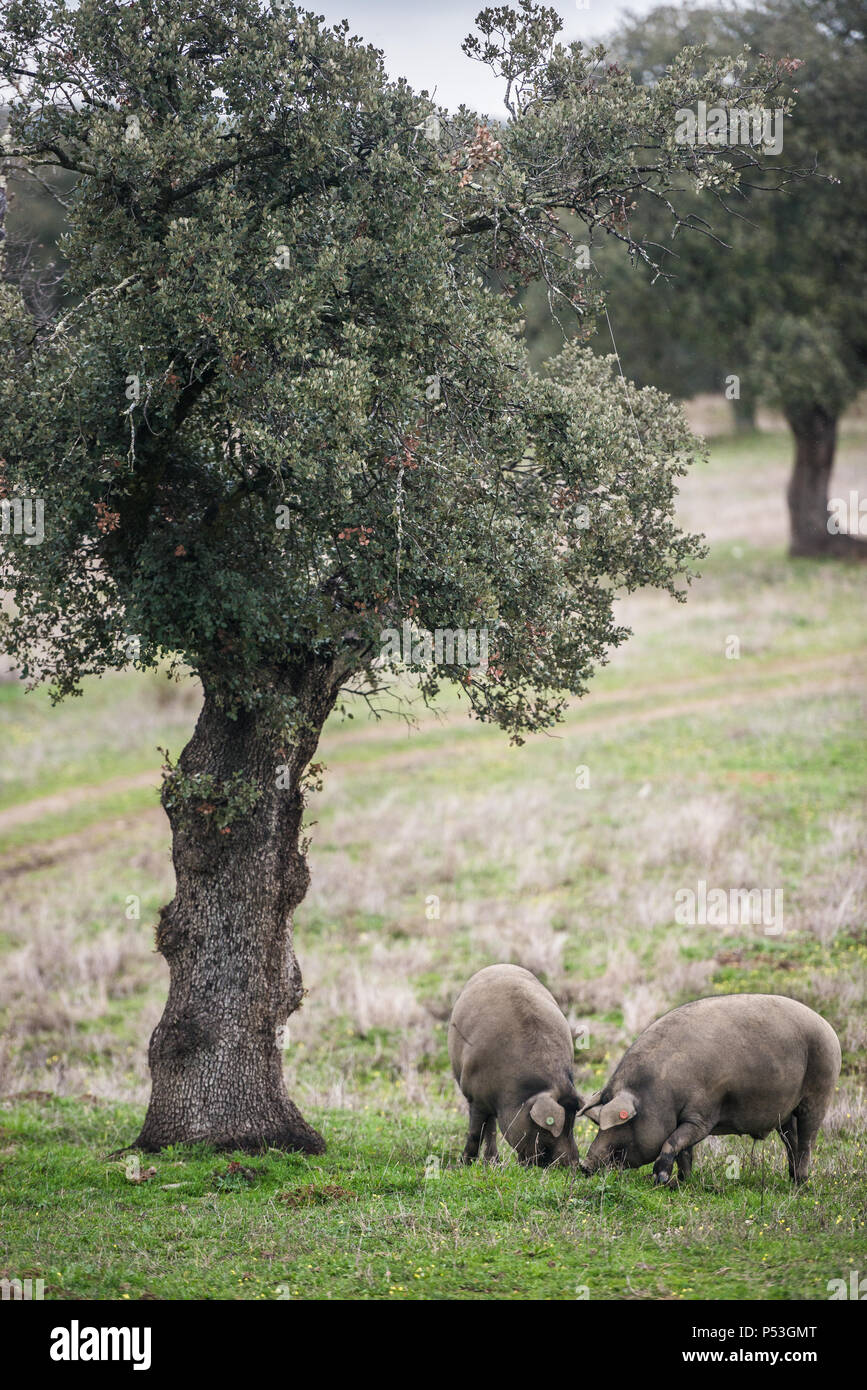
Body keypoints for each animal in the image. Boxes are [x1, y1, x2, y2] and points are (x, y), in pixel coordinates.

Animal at [448, 963, 583, 1167]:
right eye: (545, 1129)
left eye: (572, 1123)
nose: (576, 1164)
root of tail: (498, 966)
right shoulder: (475, 1096)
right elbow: (475, 1133)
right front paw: (462, 1165)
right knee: (489, 1126)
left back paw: (492, 1162)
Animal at [578, 993, 841, 1186]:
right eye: (596, 1122)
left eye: (621, 1124)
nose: (584, 1165)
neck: (658, 1091)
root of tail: (829, 1028)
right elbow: (684, 1151)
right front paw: (683, 1182)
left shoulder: (702, 1117)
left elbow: (673, 1142)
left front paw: (660, 1179)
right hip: (786, 1112)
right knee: (791, 1139)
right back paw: (792, 1179)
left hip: (820, 1090)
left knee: (807, 1139)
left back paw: (802, 1183)